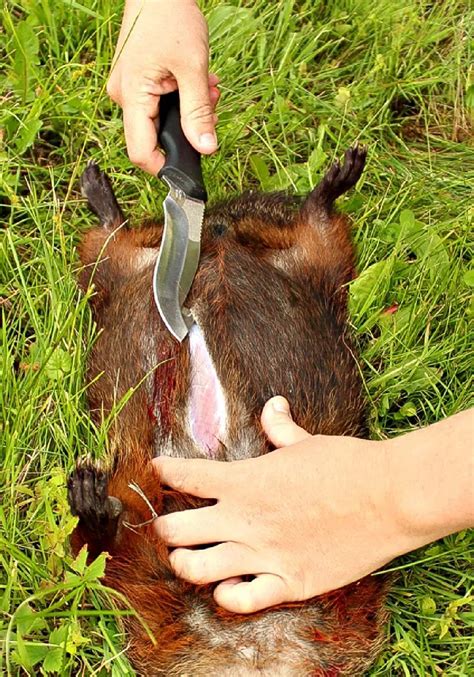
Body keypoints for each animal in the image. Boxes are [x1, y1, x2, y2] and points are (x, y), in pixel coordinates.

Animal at [68, 146, 388, 676]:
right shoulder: (157, 600)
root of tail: (220, 231)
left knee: (322, 236)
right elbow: (106, 563)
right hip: (121, 274)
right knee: (105, 249)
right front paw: (91, 501)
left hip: (314, 266)